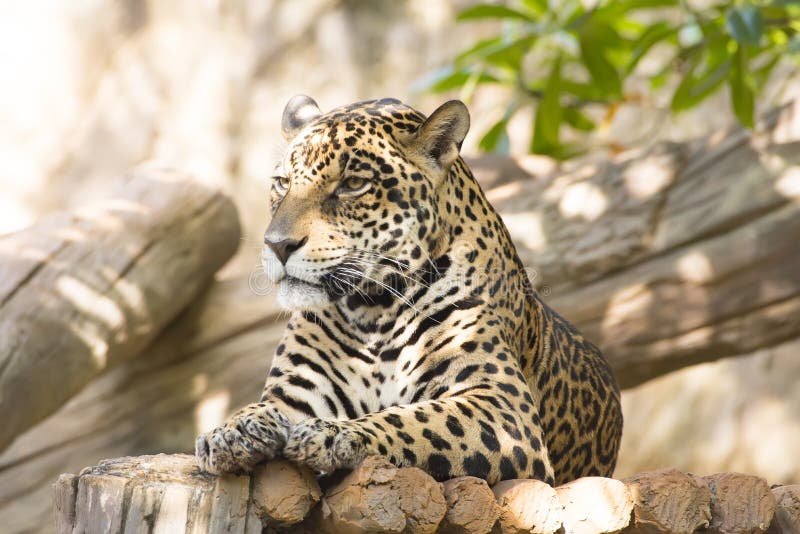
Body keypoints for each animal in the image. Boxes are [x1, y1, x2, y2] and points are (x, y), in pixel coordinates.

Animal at [195, 95, 622, 486]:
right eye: (282, 183)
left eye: (353, 184)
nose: (278, 245)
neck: (371, 310)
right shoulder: (294, 393)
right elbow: (262, 407)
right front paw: (231, 430)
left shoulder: (503, 407)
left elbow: (415, 420)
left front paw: (332, 433)